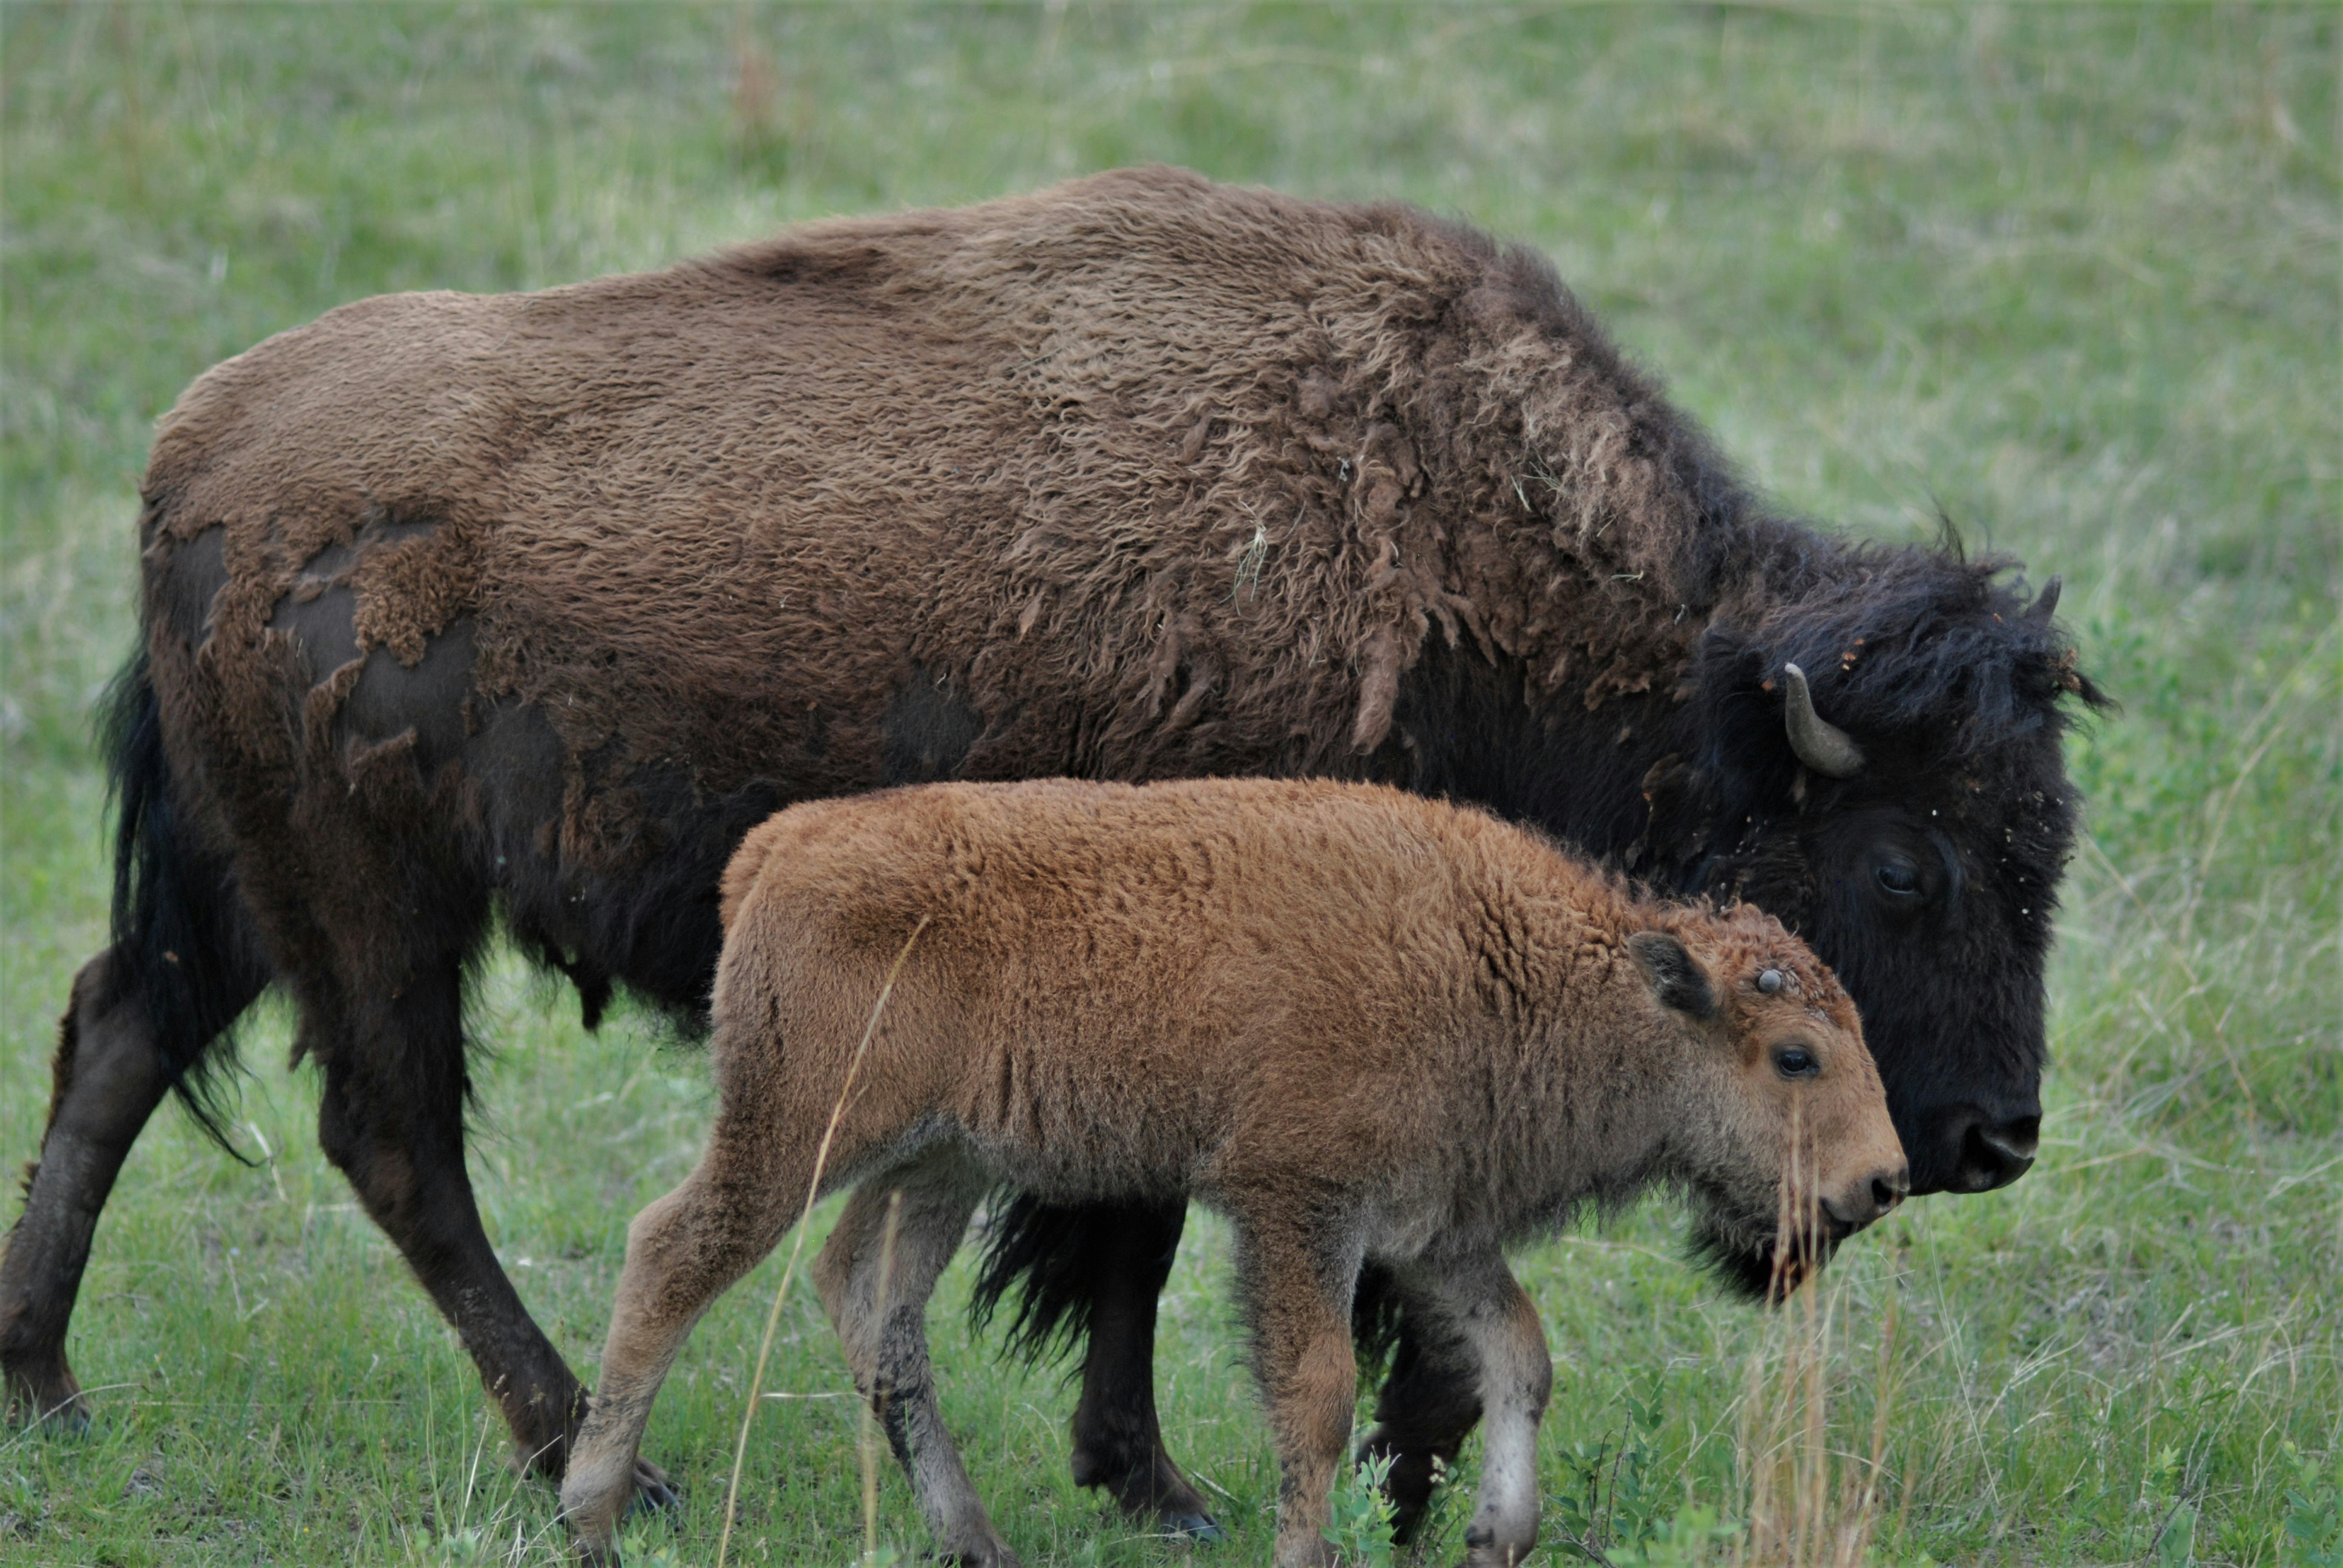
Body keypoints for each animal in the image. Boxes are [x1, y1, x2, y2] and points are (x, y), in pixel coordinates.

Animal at [1, 168, 2101, 1533]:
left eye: (2048, 850)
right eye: (1904, 864)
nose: (1991, 1138)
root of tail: (199, 454)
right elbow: (1136, 1244)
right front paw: (1170, 1482)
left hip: (245, 888)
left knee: (120, 1034)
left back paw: (48, 1392)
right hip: (369, 900)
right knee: (394, 1137)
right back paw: (597, 1460)